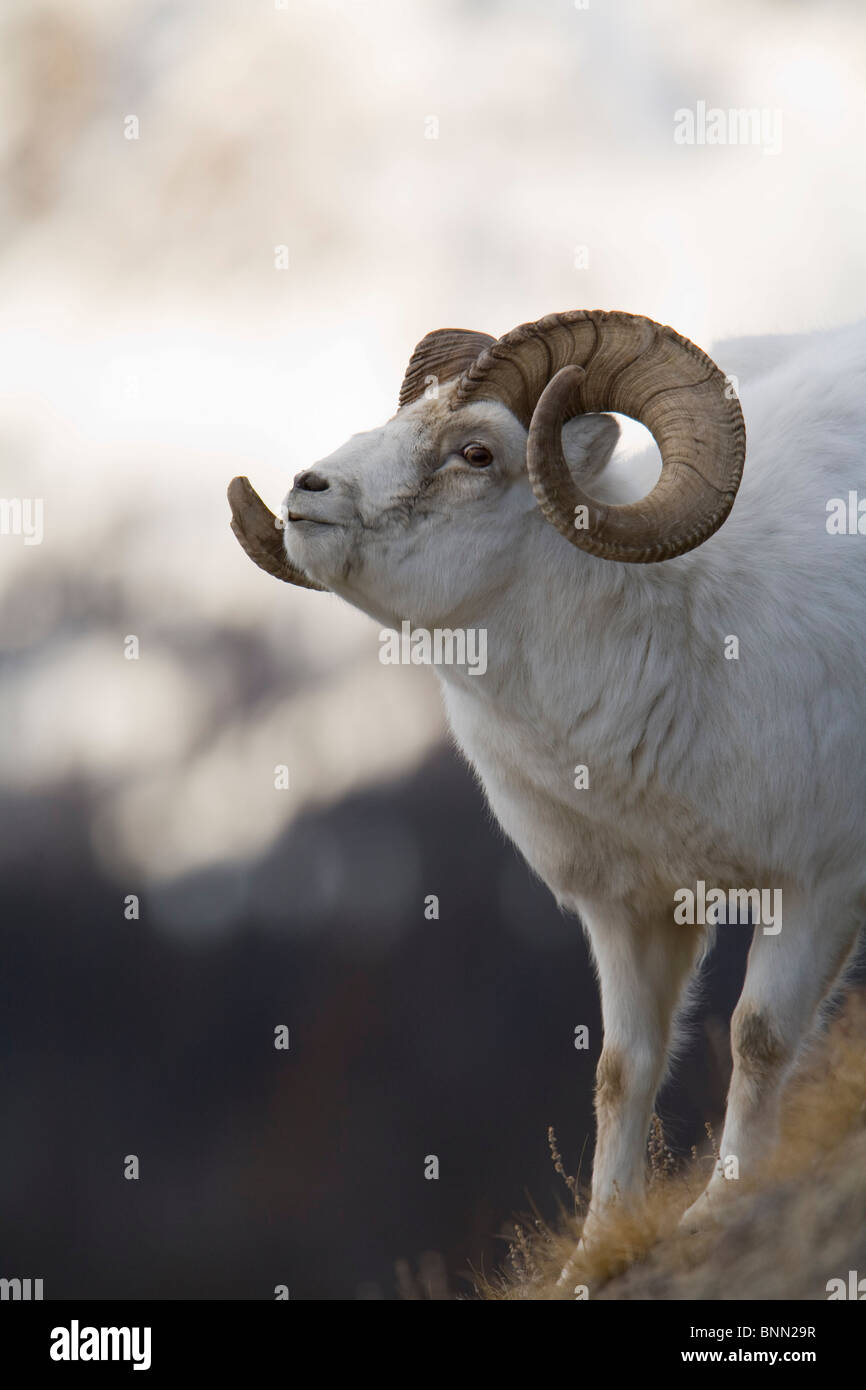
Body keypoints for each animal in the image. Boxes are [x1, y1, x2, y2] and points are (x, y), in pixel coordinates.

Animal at [227, 309, 866, 1277]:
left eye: (478, 452)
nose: (307, 490)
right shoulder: (630, 914)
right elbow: (621, 1072)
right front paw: (595, 1249)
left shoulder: (816, 886)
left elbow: (757, 1036)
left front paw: (718, 1207)